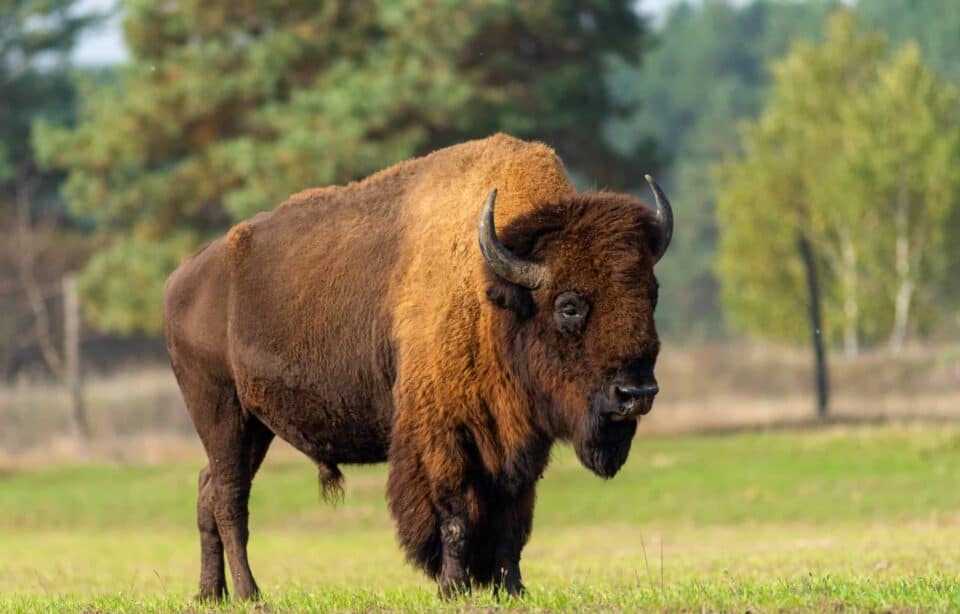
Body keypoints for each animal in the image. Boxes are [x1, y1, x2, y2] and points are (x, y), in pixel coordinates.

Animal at [162, 134, 673, 600]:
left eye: (651, 294)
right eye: (569, 306)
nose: (636, 394)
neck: (492, 293)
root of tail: (183, 279)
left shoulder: (519, 441)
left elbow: (513, 517)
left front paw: (513, 589)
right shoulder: (444, 434)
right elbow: (456, 513)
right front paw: (453, 588)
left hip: (254, 426)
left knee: (209, 490)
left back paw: (209, 594)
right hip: (222, 414)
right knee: (230, 499)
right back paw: (250, 593)